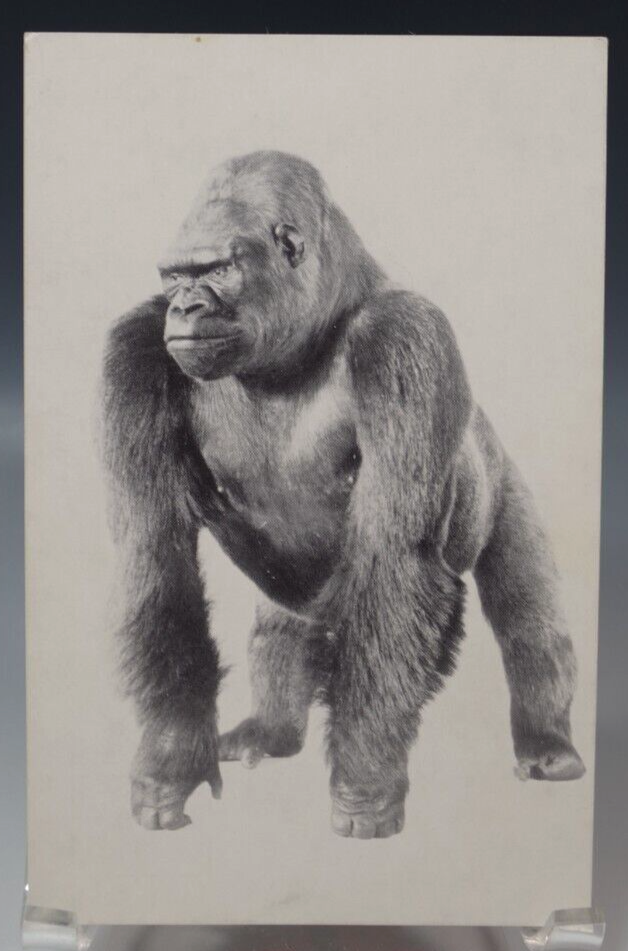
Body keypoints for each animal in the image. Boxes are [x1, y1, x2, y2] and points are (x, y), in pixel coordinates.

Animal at [102, 150, 585, 839]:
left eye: (218, 269)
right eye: (174, 277)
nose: (185, 310)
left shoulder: (407, 339)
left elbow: (395, 563)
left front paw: (365, 785)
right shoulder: (136, 349)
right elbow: (155, 556)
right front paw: (171, 762)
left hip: (504, 481)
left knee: (530, 619)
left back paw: (550, 745)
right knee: (283, 624)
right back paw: (272, 730)